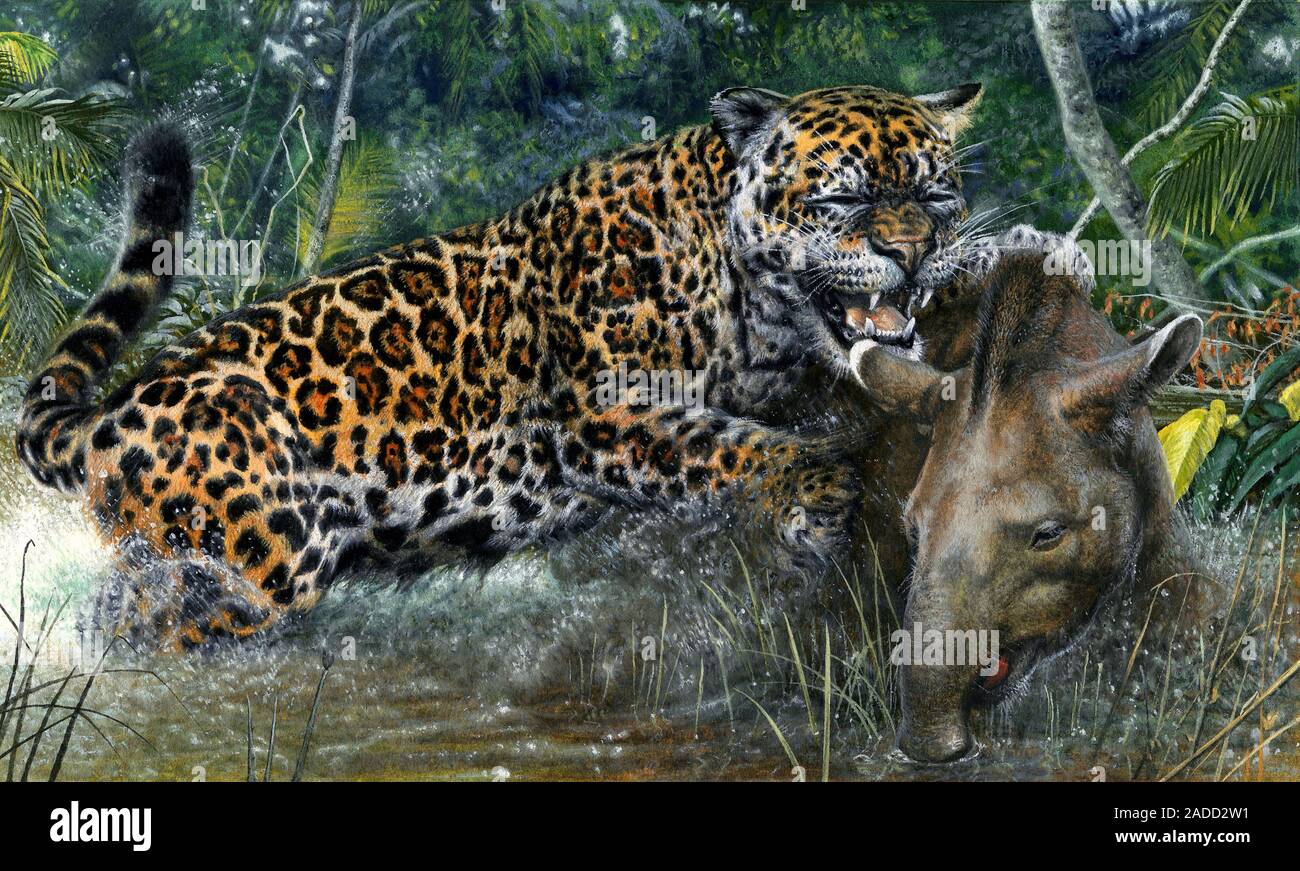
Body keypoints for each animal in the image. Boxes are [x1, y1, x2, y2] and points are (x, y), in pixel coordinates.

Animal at [16, 82, 997, 651]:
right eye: (843, 198)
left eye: (936, 192)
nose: (914, 252)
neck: (754, 306)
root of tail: (104, 416)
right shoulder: (610, 417)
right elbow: (733, 445)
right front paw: (814, 494)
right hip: (255, 554)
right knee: (133, 623)